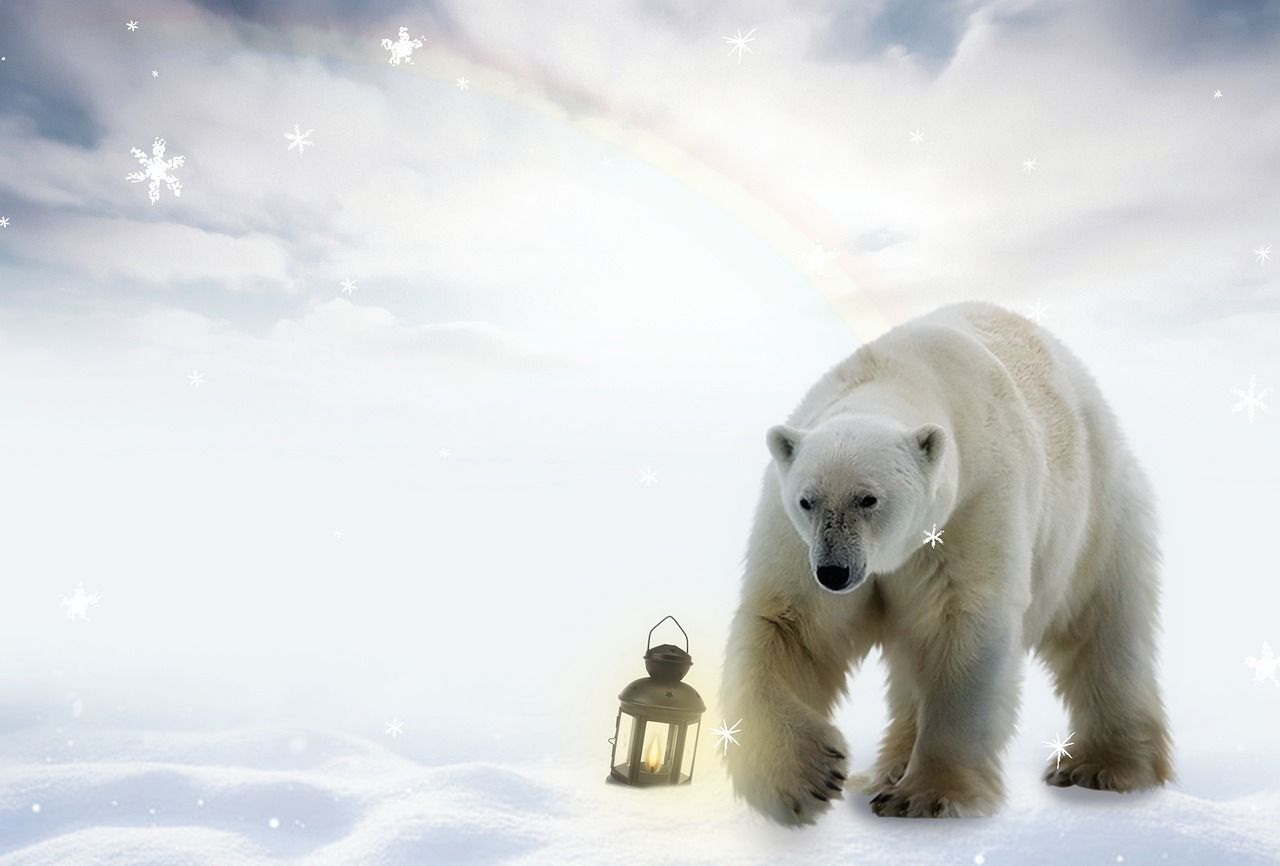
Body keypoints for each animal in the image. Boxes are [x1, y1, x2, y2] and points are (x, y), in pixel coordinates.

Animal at [718, 300, 1172, 823]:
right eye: (807, 501)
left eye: (868, 499)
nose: (834, 572)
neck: (897, 374)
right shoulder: (795, 538)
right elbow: (791, 626)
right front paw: (806, 775)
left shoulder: (971, 507)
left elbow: (963, 627)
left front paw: (927, 796)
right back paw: (888, 768)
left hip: (1094, 520)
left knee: (1105, 633)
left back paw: (1102, 767)